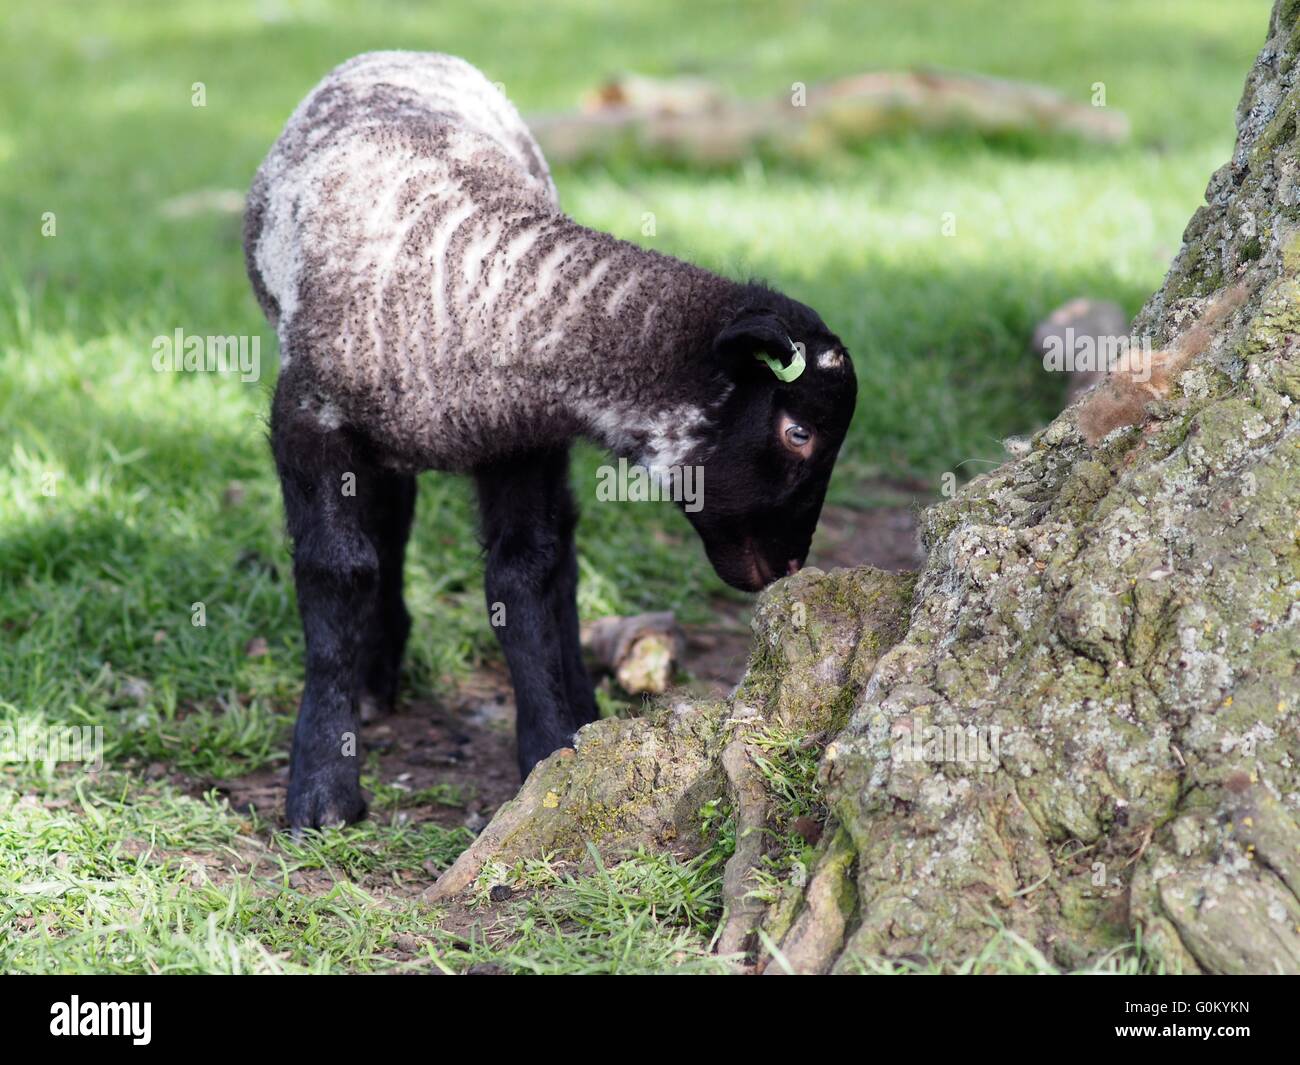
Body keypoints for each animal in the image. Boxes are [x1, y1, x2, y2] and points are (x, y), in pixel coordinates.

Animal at [243, 52, 858, 829]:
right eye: (798, 431)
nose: (789, 565)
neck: (481, 286)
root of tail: (406, 52)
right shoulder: (311, 418)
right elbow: (337, 571)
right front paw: (323, 783)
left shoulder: (521, 444)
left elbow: (524, 579)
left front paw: (547, 749)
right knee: (389, 525)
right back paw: (377, 678)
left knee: (553, 551)